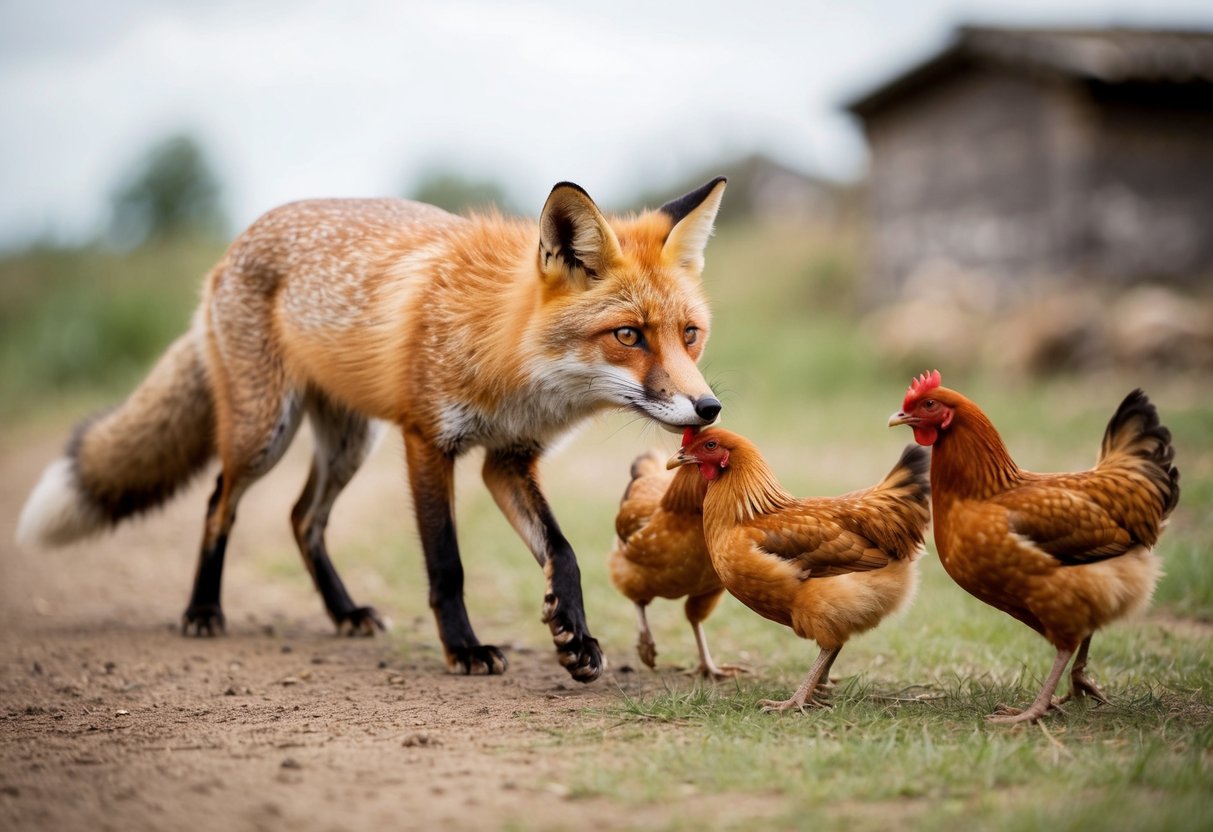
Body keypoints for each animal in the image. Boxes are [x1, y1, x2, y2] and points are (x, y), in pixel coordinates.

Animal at [16, 177, 727, 683]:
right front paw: (464, 649)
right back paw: (202, 610)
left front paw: (573, 635)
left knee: (302, 518)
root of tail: (237, 243)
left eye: (690, 334)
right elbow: (447, 565)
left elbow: (563, 550)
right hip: (264, 434)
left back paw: (343, 612)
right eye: (629, 335)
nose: (709, 407)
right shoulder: (427, 441)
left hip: (349, 443)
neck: (506, 355)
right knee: (220, 502)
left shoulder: (506, 459)